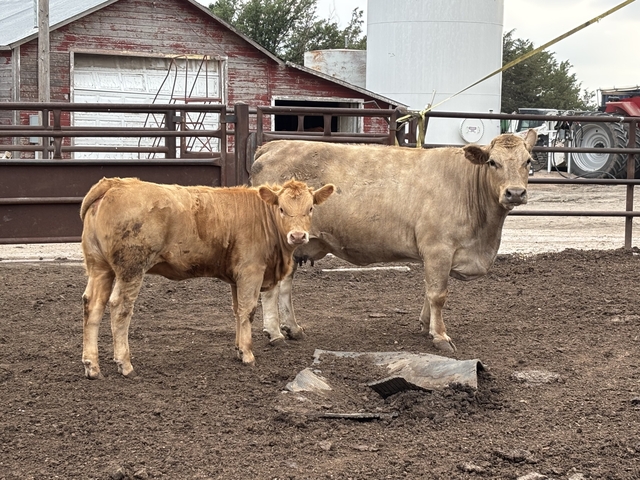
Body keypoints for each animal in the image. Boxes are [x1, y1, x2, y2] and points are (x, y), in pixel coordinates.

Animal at [79, 177, 334, 379]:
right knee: (120, 307)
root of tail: (115, 183)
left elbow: (237, 311)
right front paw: (248, 354)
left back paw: (92, 366)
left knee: (93, 305)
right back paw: (125, 364)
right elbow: (248, 310)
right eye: (281, 208)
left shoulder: (236, 277)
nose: (298, 236)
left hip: (99, 267)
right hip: (131, 268)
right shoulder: (250, 271)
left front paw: (239, 349)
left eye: (311, 208)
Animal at [250, 130, 537, 353]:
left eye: (528, 161)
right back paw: (275, 333)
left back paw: (293, 328)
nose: (515, 193)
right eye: (492, 162)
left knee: (285, 285)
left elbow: (428, 291)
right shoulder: (439, 249)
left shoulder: (433, 255)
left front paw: (425, 326)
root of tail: (273, 145)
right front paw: (441, 336)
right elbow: (438, 294)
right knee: (271, 288)